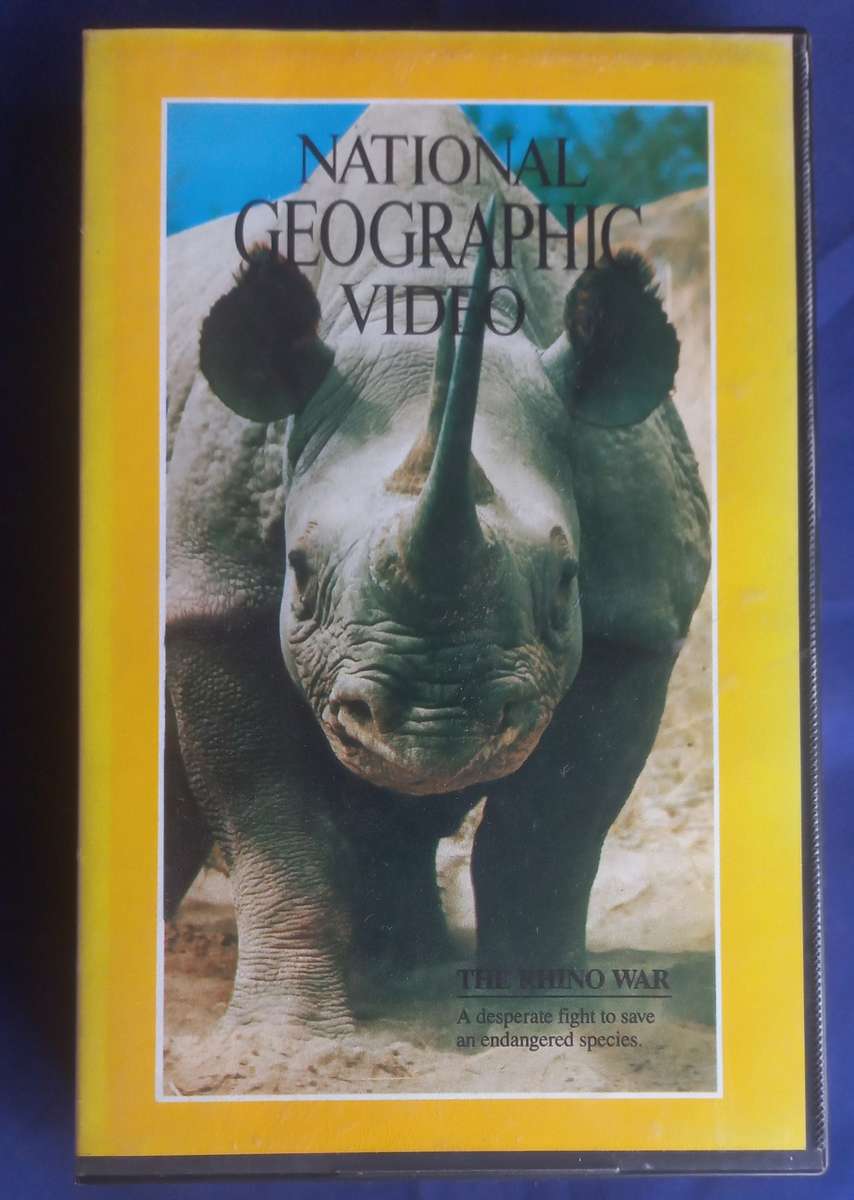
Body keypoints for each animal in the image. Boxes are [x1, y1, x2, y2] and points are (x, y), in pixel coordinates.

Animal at [165, 104, 710, 1038]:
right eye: (298, 575)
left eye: (566, 582)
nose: (433, 727)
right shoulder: (212, 596)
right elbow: (271, 815)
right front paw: (287, 1037)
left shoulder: (635, 618)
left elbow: (553, 828)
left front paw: (538, 1025)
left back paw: (408, 968)